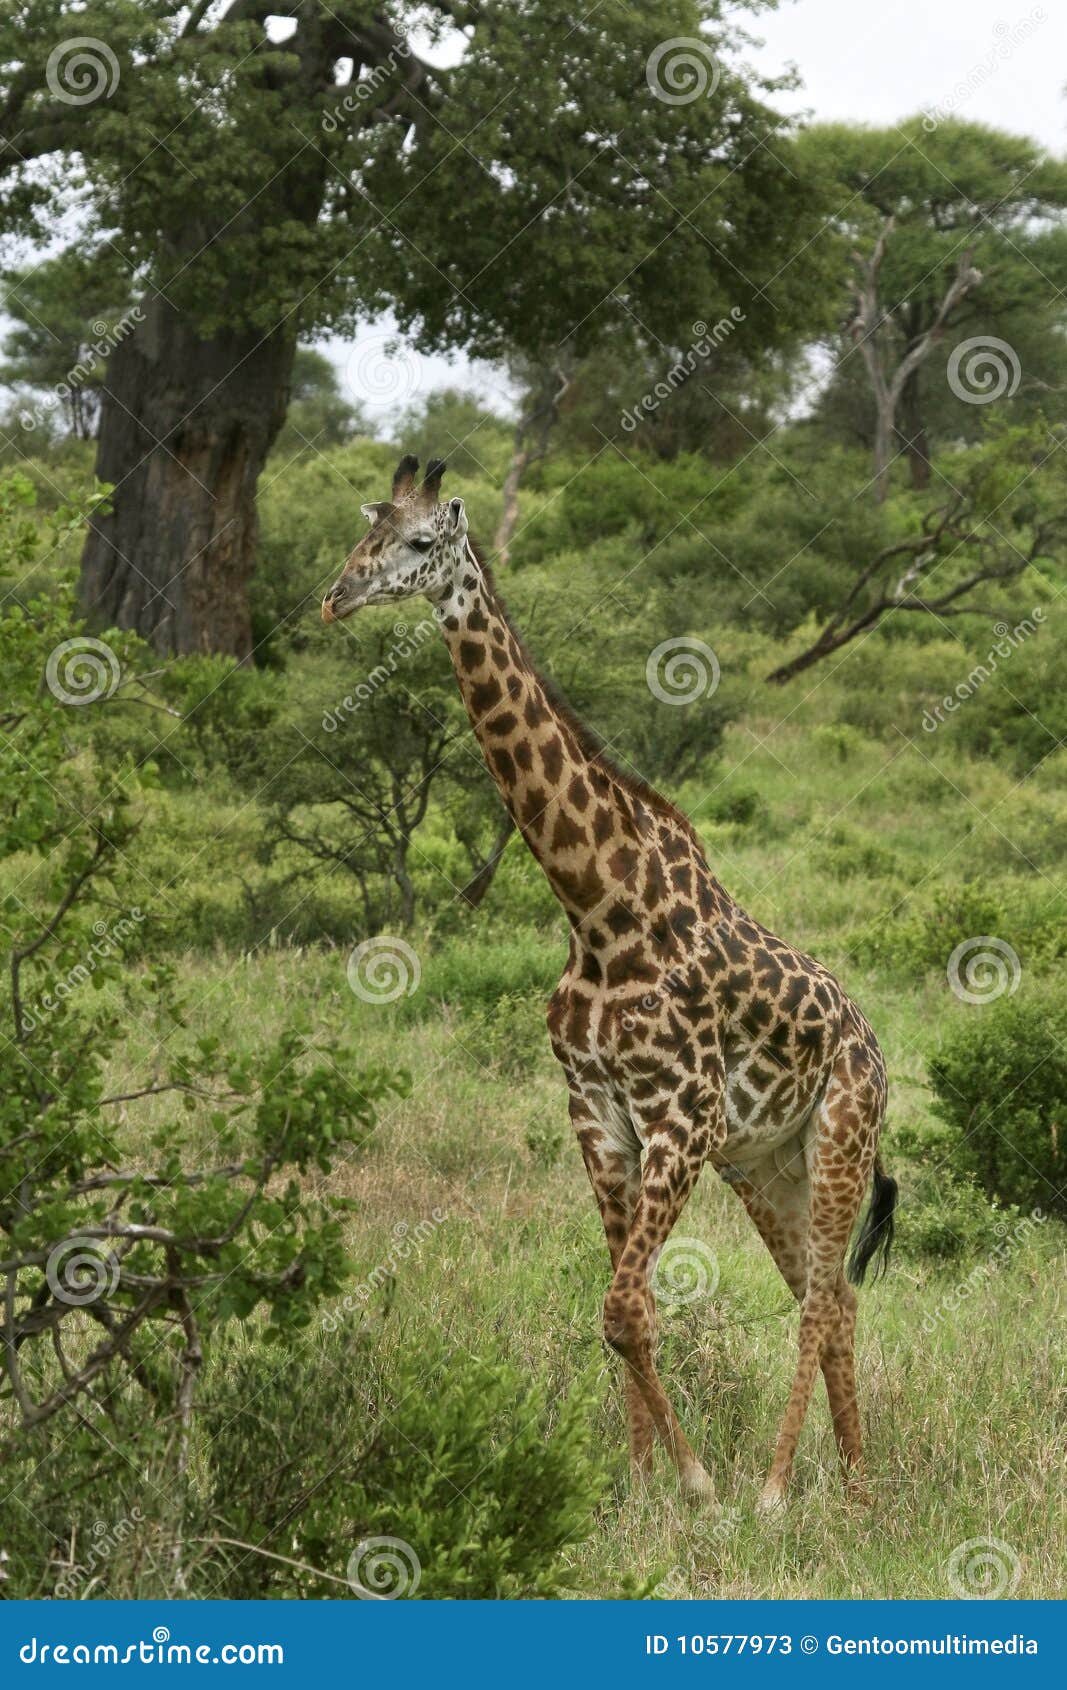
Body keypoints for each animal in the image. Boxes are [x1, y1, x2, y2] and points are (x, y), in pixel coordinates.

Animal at [322, 454, 898, 1511]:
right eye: (364, 533)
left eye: (420, 542)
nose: (336, 597)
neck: (596, 909)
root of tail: (875, 1047)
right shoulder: (598, 1115)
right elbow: (621, 1308)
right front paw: (639, 1487)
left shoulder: (681, 1117)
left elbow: (625, 1307)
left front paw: (700, 1485)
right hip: (766, 1165)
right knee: (830, 1293)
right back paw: (857, 1485)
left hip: (838, 1132)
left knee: (817, 1303)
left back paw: (776, 1489)